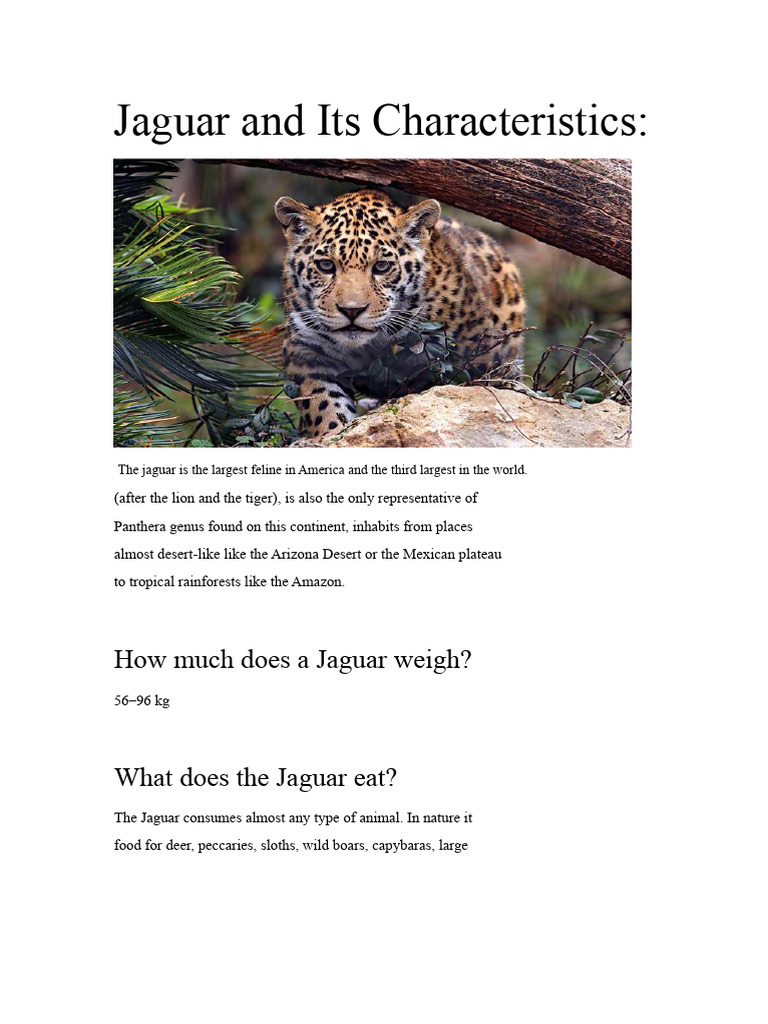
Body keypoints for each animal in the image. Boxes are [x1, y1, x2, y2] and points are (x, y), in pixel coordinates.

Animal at [275, 188, 526, 437]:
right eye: (326, 265)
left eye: (382, 267)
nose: (351, 310)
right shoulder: (306, 350)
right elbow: (321, 401)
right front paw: (329, 433)